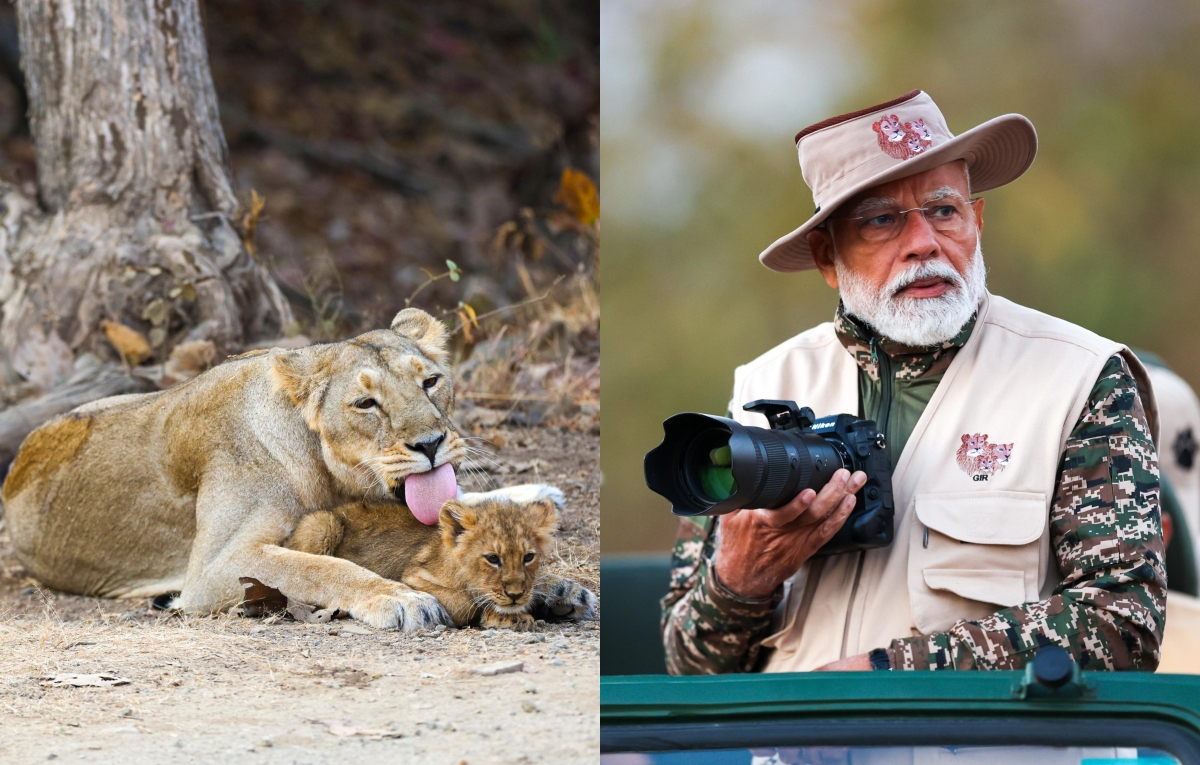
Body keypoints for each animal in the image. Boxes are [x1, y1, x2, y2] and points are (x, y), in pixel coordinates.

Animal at [2, 308, 471, 630]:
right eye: (365, 403)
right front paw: (400, 598)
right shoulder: (211, 572)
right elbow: (316, 567)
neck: (323, 466)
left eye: (430, 382)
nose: (431, 444)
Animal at [285, 484, 597, 631]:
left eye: (528, 557)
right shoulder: (413, 577)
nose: (516, 594)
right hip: (322, 524)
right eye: (492, 558)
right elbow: (462, 602)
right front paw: (504, 616)